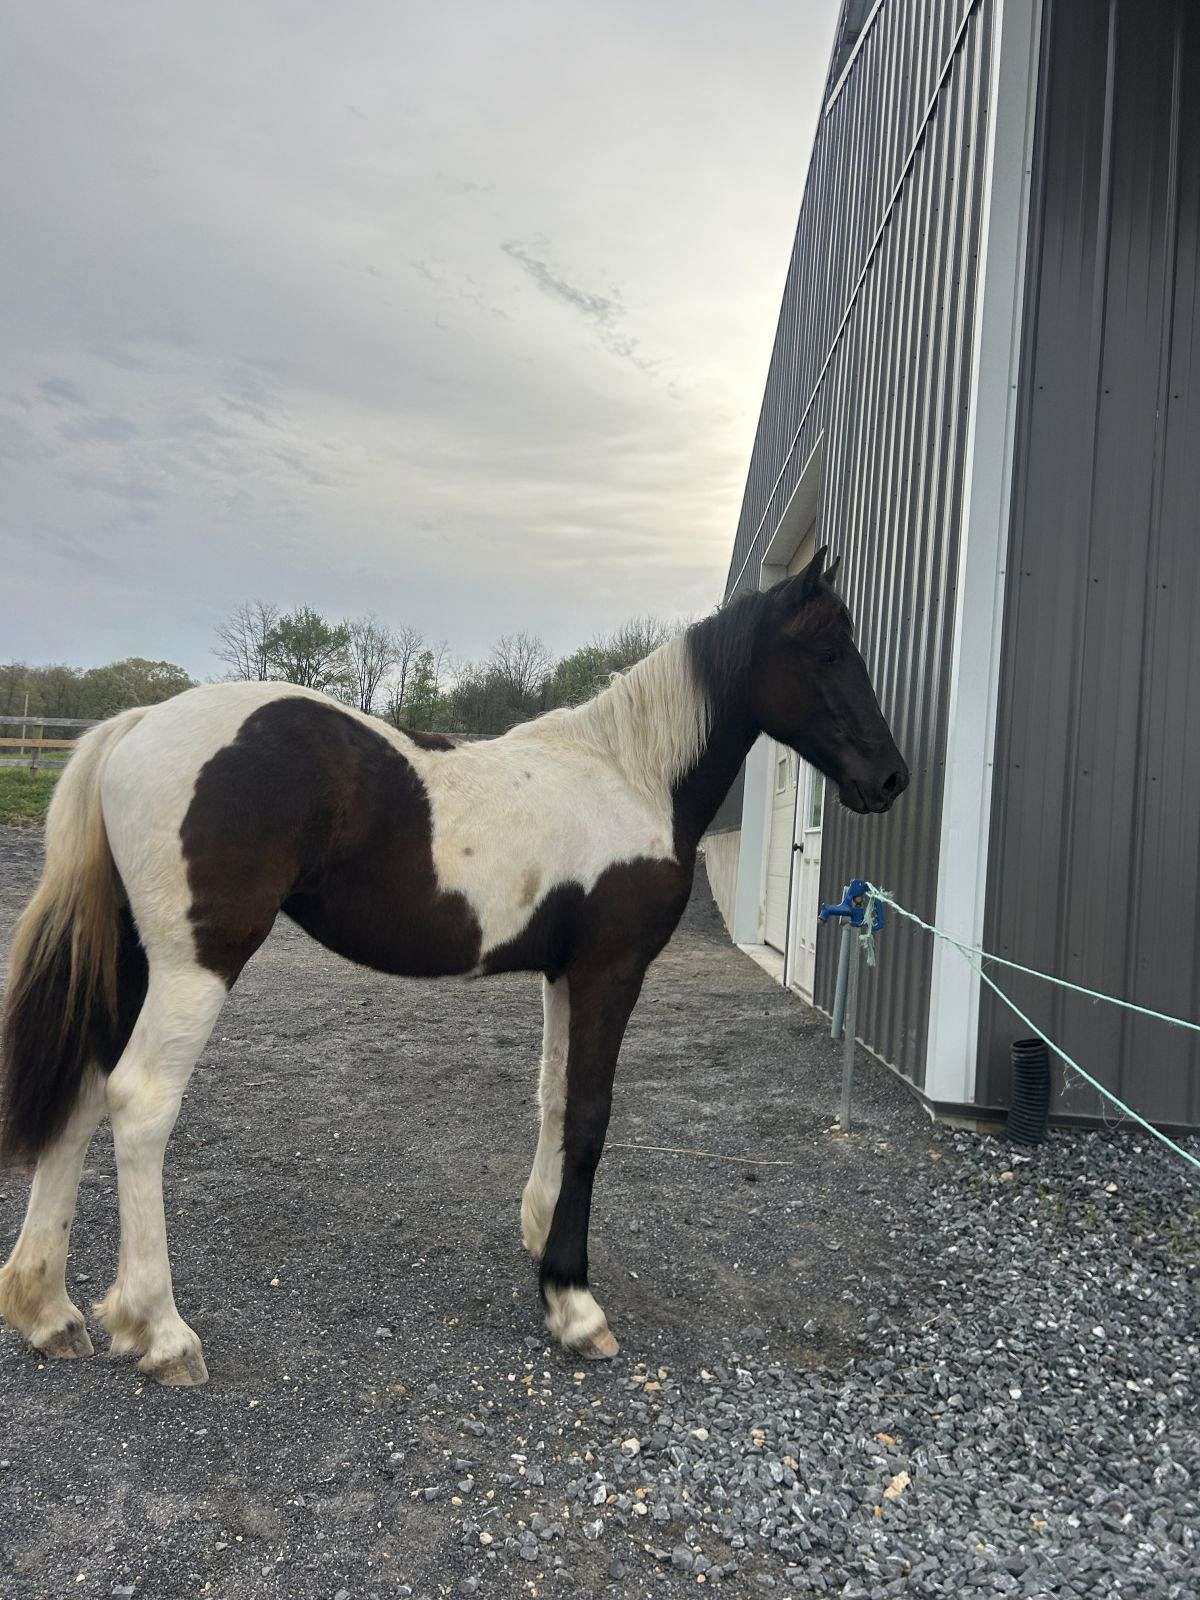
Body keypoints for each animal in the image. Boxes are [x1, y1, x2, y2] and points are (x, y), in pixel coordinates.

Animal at [0, 549, 907, 1385]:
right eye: (829, 652)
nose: (890, 778)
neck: (628, 776)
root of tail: (138, 724)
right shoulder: (612, 968)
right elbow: (590, 1115)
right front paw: (574, 1305)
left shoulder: (563, 972)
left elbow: (552, 1098)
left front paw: (541, 1236)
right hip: (196, 964)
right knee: (140, 1101)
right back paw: (160, 1331)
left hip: (131, 960)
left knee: (83, 1091)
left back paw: (48, 1310)